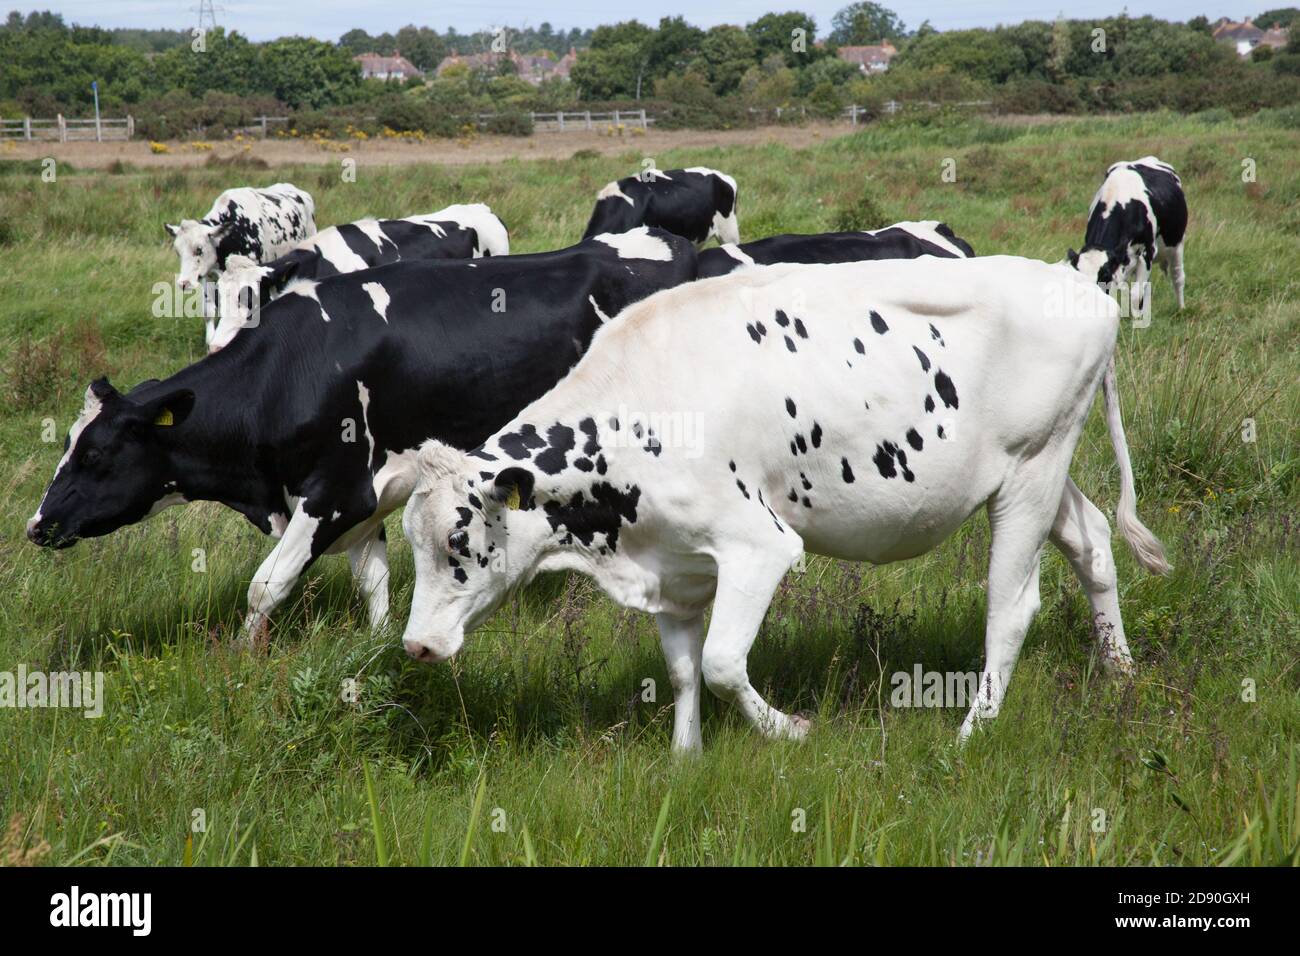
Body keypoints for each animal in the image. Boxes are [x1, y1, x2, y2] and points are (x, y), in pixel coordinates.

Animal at [26, 228, 698, 646]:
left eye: (96, 453)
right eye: (67, 445)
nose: (36, 525)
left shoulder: (333, 493)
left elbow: (266, 585)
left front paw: (242, 659)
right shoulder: (365, 500)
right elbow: (371, 584)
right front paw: (374, 649)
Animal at [398, 255, 1171, 752]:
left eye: (459, 543)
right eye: (412, 543)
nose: (417, 646)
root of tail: (1081, 288)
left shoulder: (758, 546)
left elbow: (720, 663)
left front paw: (790, 730)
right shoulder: (673, 567)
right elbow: (683, 671)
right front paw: (685, 759)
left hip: (1032, 471)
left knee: (1010, 606)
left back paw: (971, 731)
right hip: (1038, 471)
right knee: (1093, 541)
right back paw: (1121, 672)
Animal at [1067, 156, 1187, 310]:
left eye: (1104, 275)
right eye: (1078, 275)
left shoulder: (1147, 253)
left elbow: (1136, 297)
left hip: (1177, 243)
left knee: (1177, 276)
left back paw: (1181, 308)